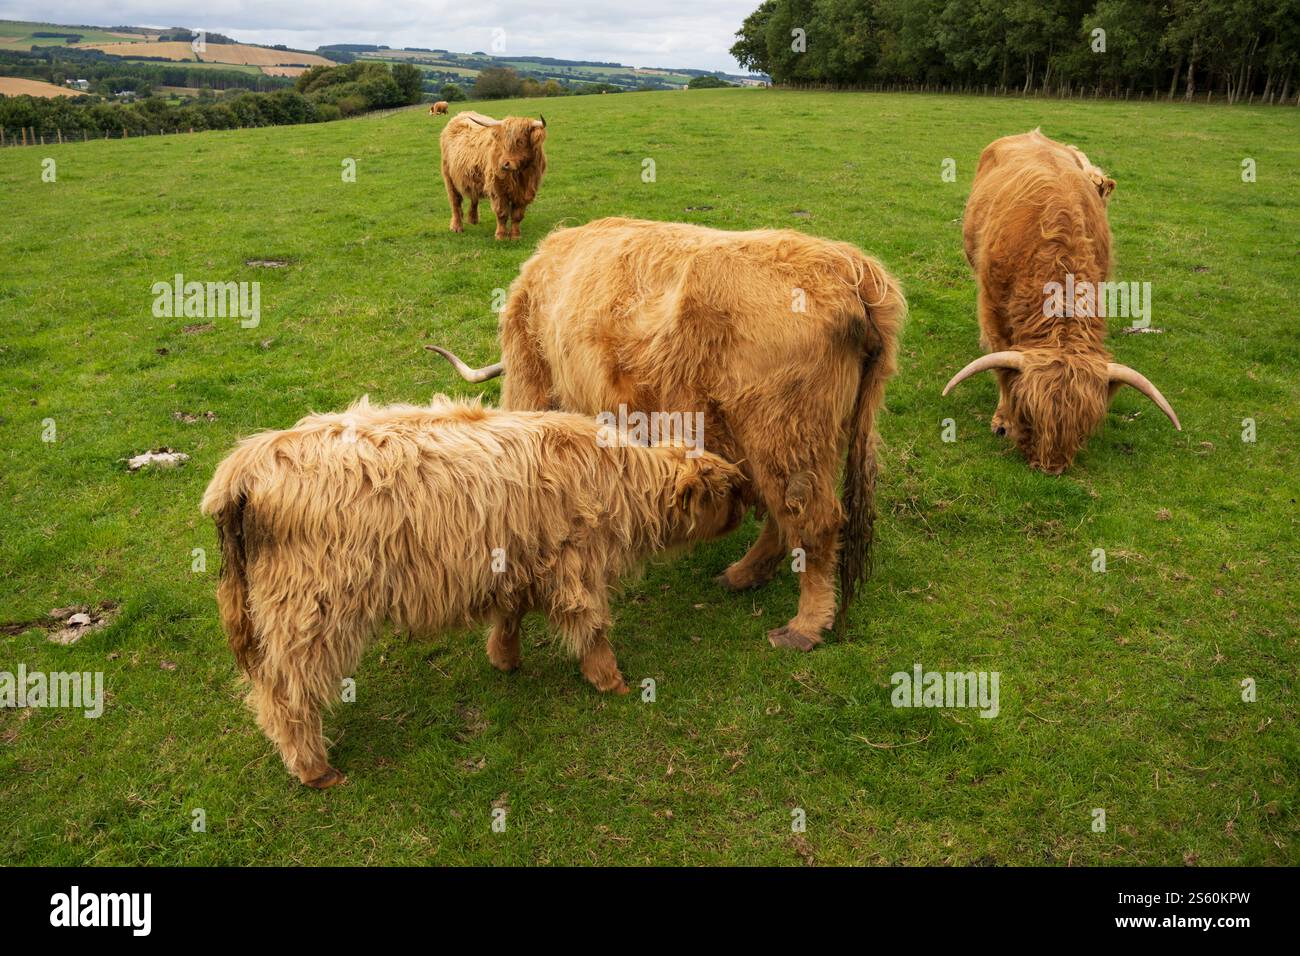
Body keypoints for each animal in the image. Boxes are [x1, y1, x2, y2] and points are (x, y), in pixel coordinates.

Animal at [201, 395, 747, 787]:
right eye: (730, 489)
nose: (750, 500)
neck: (620, 482)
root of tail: (247, 464)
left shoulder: (517, 560)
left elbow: (510, 615)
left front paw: (505, 659)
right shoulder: (575, 565)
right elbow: (591, 626)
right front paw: (611, 681)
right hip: (310, 606)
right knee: (285, 690)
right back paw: (315, 769)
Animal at [430, 217, 905, 652]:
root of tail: (849, 268)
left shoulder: (534, 377)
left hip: (784, 434)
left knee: (814, 520)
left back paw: (803, 627)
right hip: (804, 441)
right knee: (784, 515)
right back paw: (742, 575)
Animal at [439, 110, 546, 240]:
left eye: (521, 141)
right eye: (503, 144)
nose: (505, 164)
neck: (520, 174)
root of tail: (460, 115)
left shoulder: (525, 191)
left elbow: (517, 215)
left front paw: (515, 236)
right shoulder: (498, 190)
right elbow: (502, 213)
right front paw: (500, 236)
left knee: (473, 198)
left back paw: (473, 220)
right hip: (449, 177)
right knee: (455, 201)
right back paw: (456, 227)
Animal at [944, 129, 1180, 474]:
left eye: (1083, 427)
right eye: (1027, 414)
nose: (1049, 467)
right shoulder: (992, 305)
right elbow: (1001, 364)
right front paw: (1001, 420)